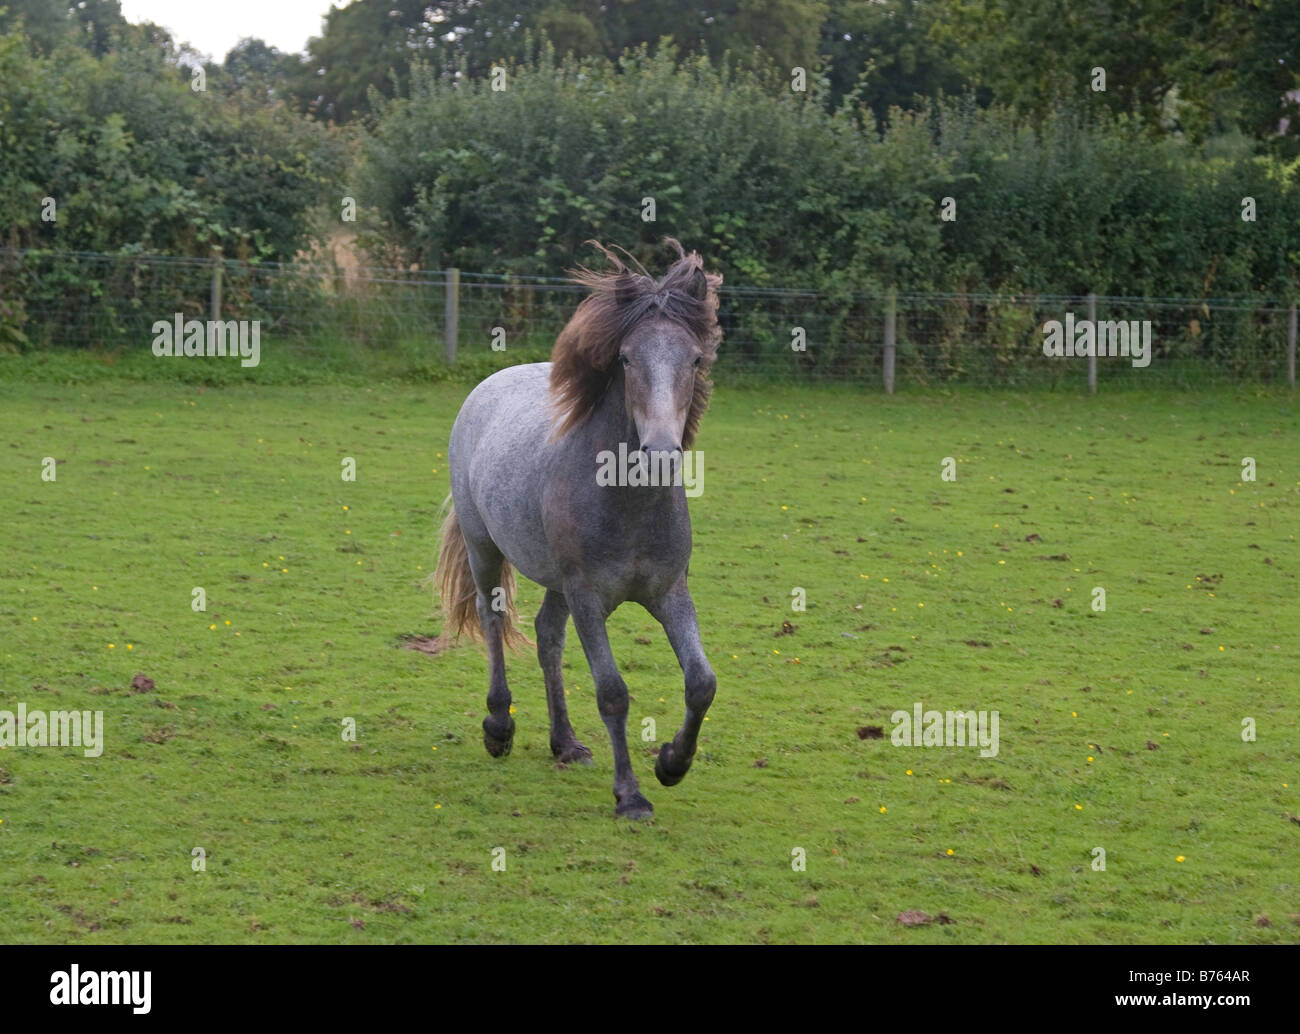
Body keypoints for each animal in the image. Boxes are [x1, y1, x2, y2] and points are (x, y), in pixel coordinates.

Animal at [435, 238, 721, 819]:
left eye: (696, 358)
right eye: (627, 358)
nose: (660, 455)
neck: (629, 504)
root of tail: (491, 382)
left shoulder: (669, 593)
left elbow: (701, 683)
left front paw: (671, 764)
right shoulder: (589, 596)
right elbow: (612, 691)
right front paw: (630, 795)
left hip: (556, 580)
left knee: (547, 636)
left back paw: (565, 743)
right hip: (484, 549)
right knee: (492, 619)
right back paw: (498, 727)